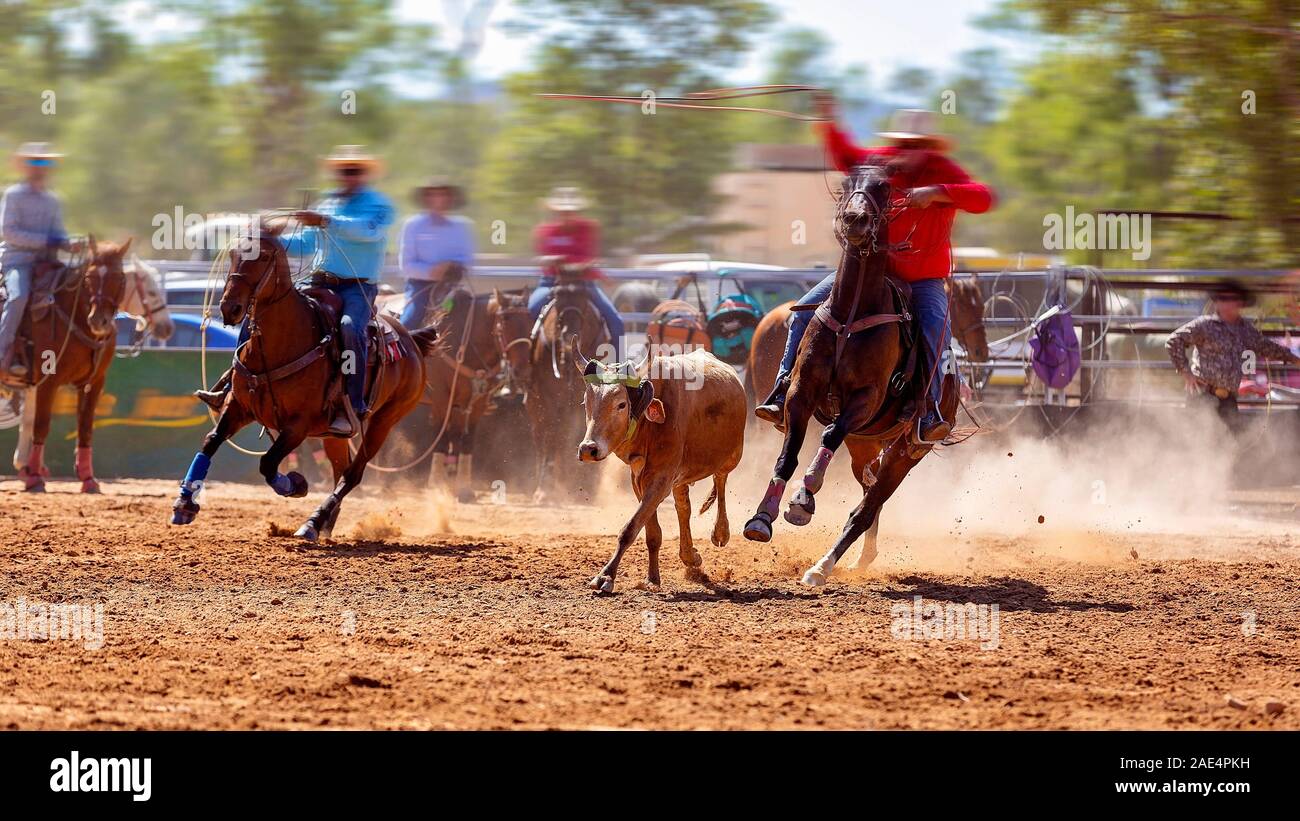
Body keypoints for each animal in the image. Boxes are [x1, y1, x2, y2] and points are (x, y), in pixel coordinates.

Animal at [576, 347, 746, 594]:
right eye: (587, 402)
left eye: (621, 404)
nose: (588, 449)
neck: (648, 426)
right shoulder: (640, 481)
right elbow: (652, 533)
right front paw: (652, 578)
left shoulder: (661, 480)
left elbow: (629, 529)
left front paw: (606, 576)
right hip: (681, 479)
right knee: (684, 508)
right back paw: (689, 555)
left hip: (731, 456)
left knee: (720, 482)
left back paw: (720, 531)